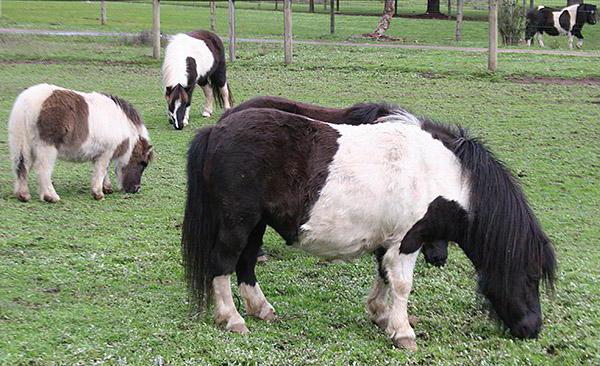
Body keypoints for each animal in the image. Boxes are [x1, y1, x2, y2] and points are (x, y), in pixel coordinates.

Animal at [8, 83, 154, 203]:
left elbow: (104, 171)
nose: (136, 189)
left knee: (22, 166)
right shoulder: (106, 153)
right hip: (47, 148)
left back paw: (23, 195)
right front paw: (98, 194)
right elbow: (101, 170)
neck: (120, 123)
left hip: (22, 146)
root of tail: (26, 104)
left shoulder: (100, 155)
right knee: (43, 170)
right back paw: (51, 197)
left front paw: (106, 188)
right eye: (143, 163)